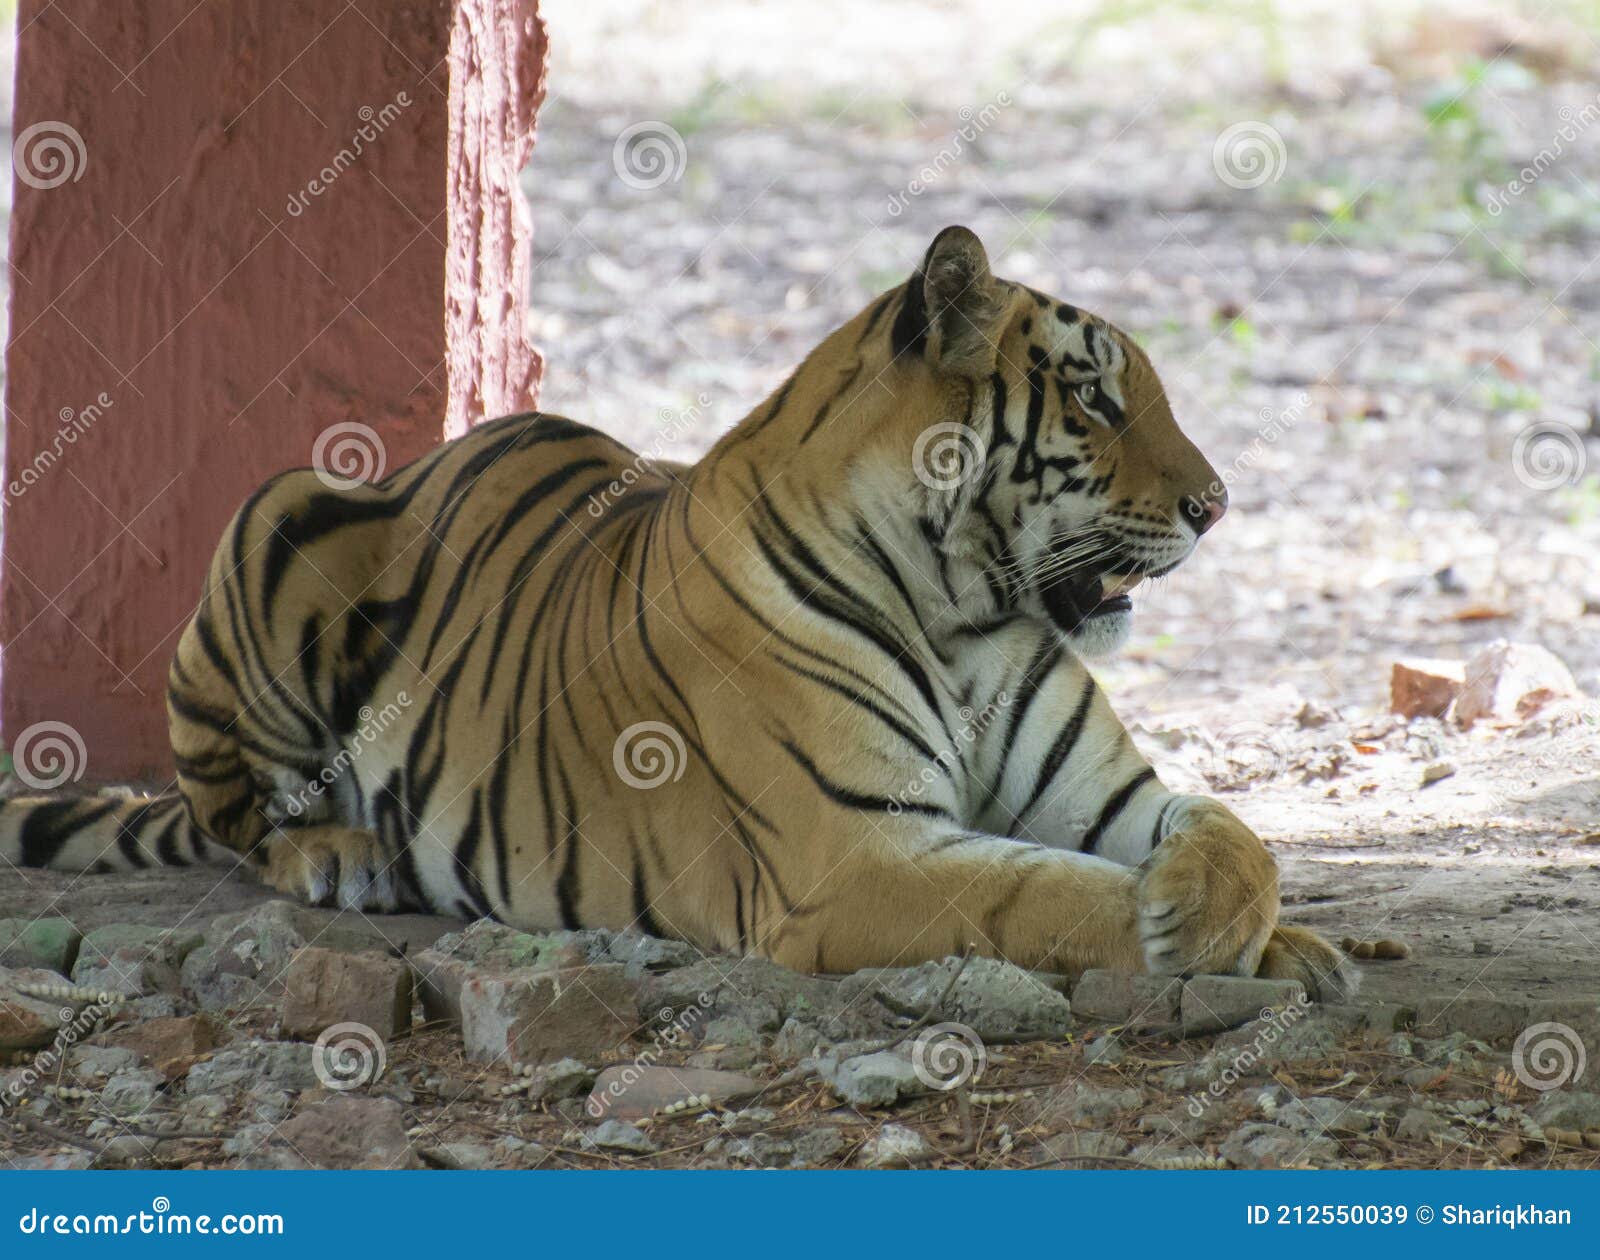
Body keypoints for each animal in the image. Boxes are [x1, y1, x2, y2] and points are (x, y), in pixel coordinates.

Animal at [1, 225, 1353, 999]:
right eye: (1093, 400)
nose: (1218, 504)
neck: (968, 613)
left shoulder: (1106, 798)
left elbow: (1236, 833)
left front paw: (1260, 928)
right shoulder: (850, 857)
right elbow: (1046, 896)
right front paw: (1180, 931)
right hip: (279, 512)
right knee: (235, 818)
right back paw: (342, 856)